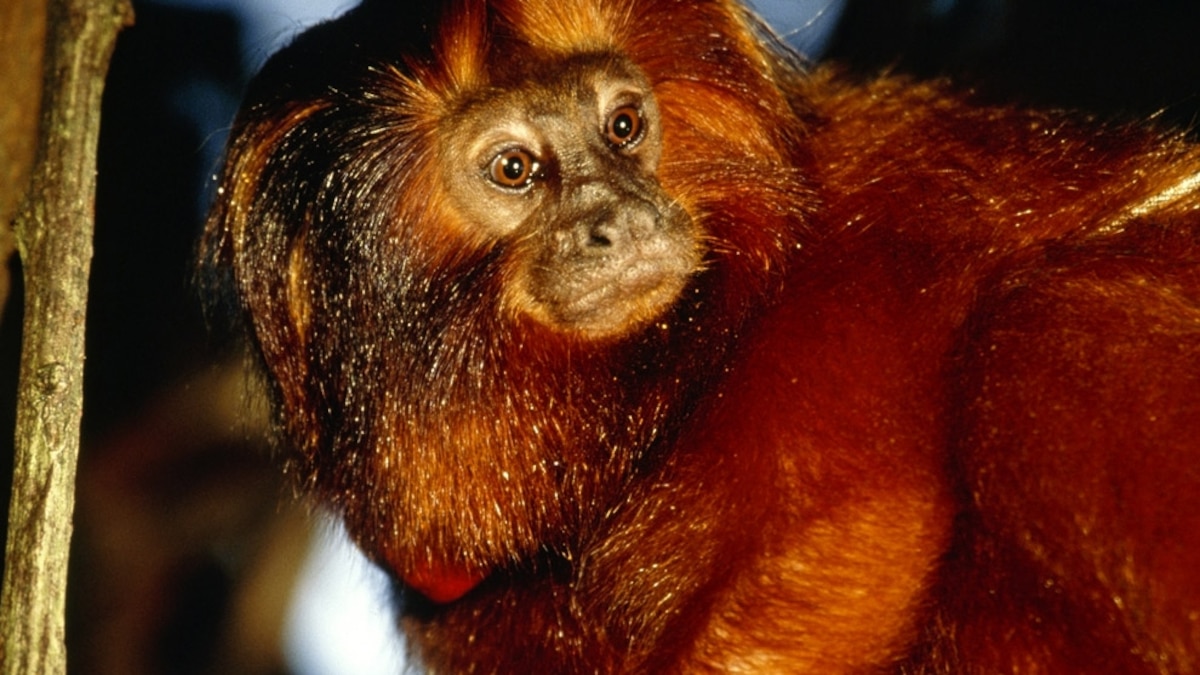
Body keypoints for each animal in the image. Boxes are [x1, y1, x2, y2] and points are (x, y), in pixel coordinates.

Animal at [201, 0, 1200, 672]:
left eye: (623, 125)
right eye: (515, 168)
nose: (620, 221)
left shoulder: (873, 252)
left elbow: (864, 531)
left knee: (1043, 320)